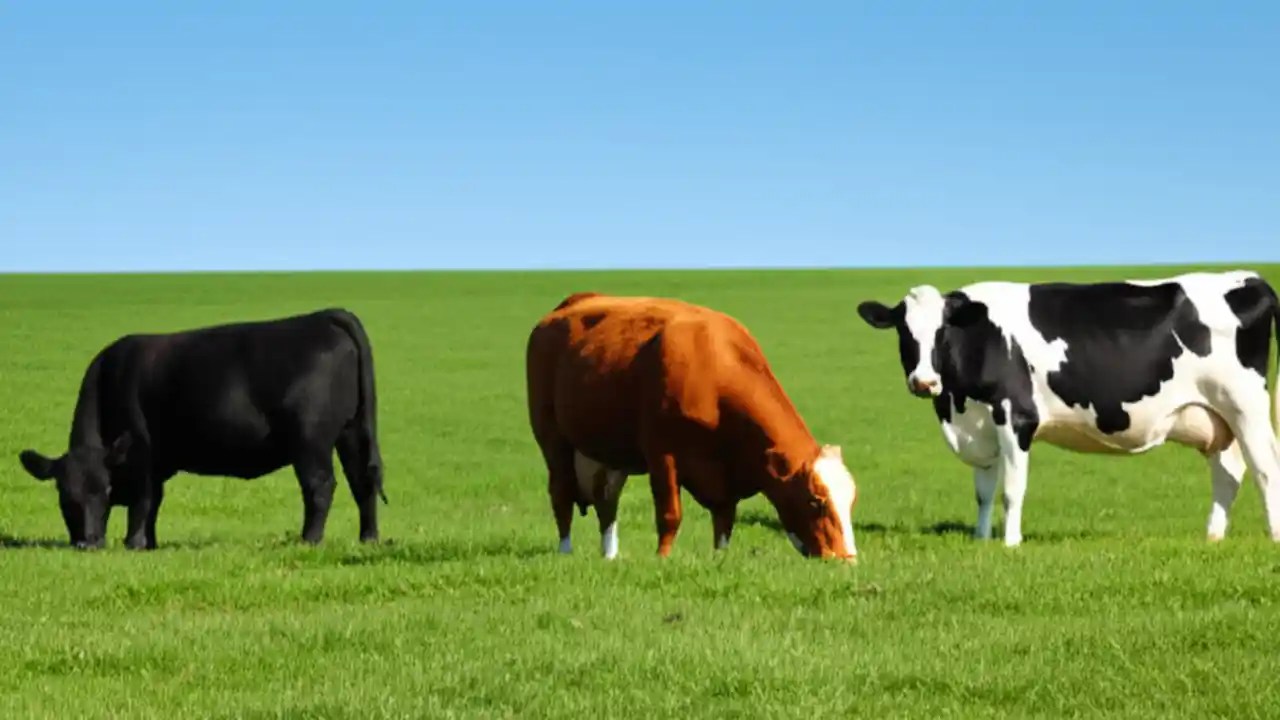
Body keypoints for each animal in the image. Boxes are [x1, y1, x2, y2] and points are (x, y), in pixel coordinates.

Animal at [16, 308, 384, 550]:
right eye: (64, 495)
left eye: (105, 489)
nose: (88, 542)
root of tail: (324, 316)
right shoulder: (157, 464)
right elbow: (154, 502)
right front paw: (150, 543)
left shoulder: (142, 455)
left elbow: (142, 500)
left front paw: (134, 543)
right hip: (351, 432)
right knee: (361, 481)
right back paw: (368, 538)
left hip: (310, 441)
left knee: (320, 486)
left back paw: (309, 539)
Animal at [526, 292, 858, 560]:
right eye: (815, 501)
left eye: (851, 501)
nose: (845, 559)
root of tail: (568, 305)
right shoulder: (662, 455)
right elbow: (670, 513)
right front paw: (662, 558)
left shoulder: (725, 474)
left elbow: (725, 519)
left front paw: (720, 557)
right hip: (552, 438)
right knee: (561, 492)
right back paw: (565, 550)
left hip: (607, 454)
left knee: (606, 501)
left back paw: (610, 555)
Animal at [857, 270, 1280, 546]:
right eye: (904, 332)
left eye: (942, 331)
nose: (923, 381)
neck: (955, 404)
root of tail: (1248, 278)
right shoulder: (979, 425)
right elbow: (984, 491)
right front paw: (980, 538)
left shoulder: (1016, 416)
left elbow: (1012, 489)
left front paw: (1010, 542)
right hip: (1217, 419)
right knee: (1228, 473)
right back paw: (1213, 537)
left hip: (1246, 406)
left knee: (1265, 468)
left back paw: (1273, 537)